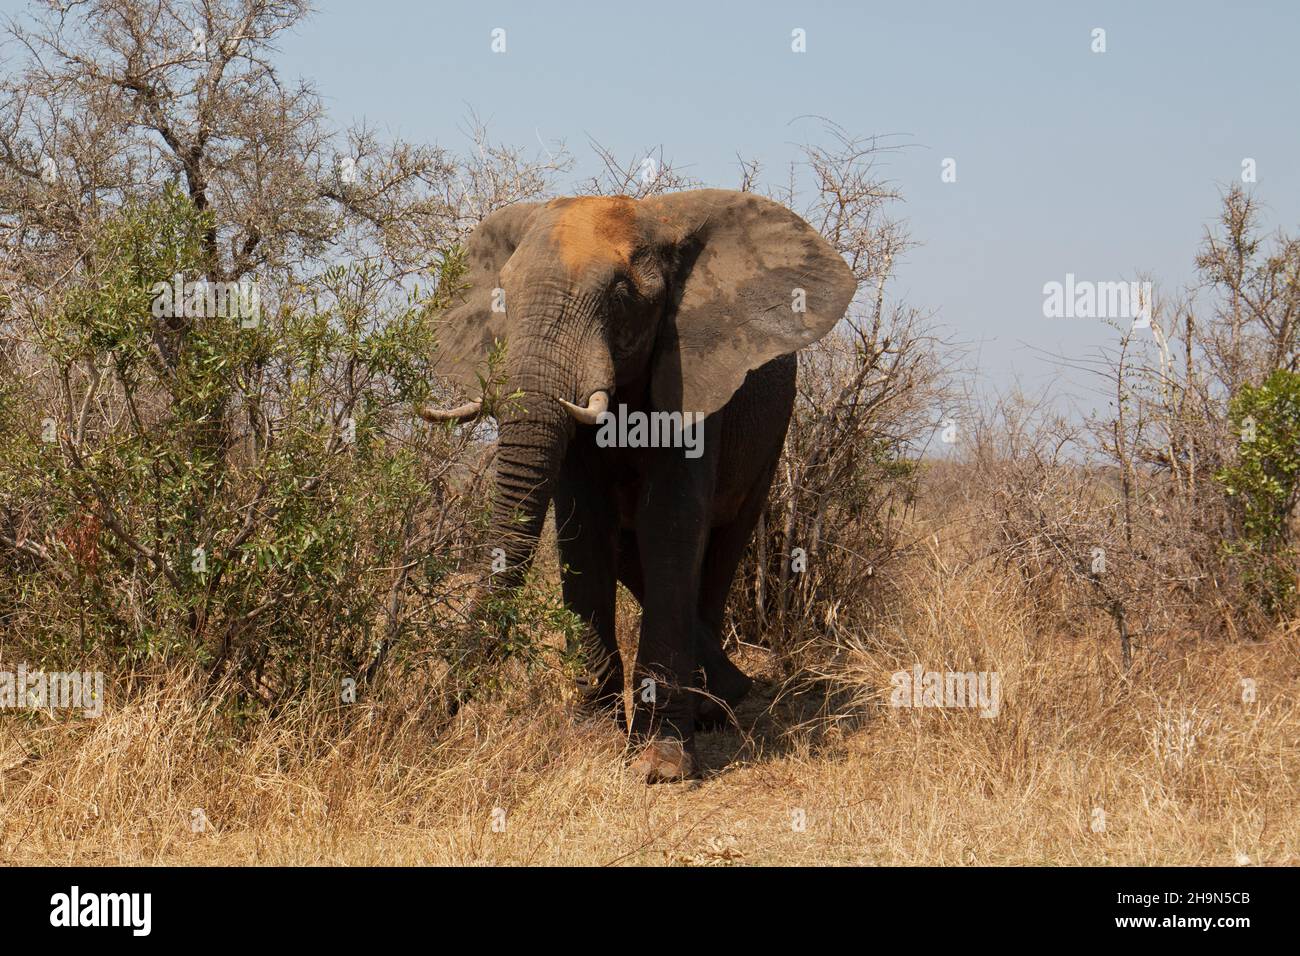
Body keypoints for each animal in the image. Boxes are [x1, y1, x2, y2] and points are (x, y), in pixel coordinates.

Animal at [423, 189, 856, 781]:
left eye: (622, 296)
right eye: (501, 297)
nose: (440, 713)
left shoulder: (692, 373)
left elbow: (669, 527)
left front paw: (661, 766)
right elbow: (584, 529)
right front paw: (592, 741)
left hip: (772, 430)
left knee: (723, 549)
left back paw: (713, 709)